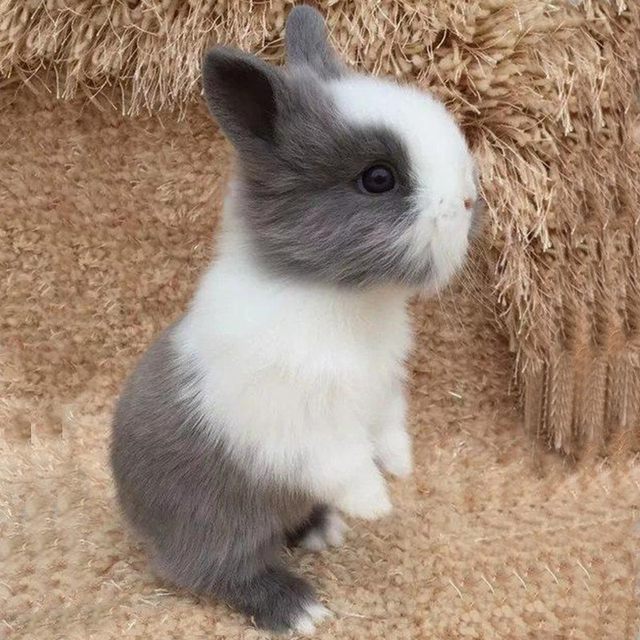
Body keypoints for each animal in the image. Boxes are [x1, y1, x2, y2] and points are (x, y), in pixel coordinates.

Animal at [110, 4, 481, 634]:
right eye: (378, 178)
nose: (469, 201)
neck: (338, 296)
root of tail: (133, 511)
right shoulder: (297, 423)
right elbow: (342, 461)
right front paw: (376, 504)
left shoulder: (382, 392)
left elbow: (386, 432)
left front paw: (400, 468)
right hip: (213, 529)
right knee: (223, 572)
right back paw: (298, 607)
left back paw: (321, 530)